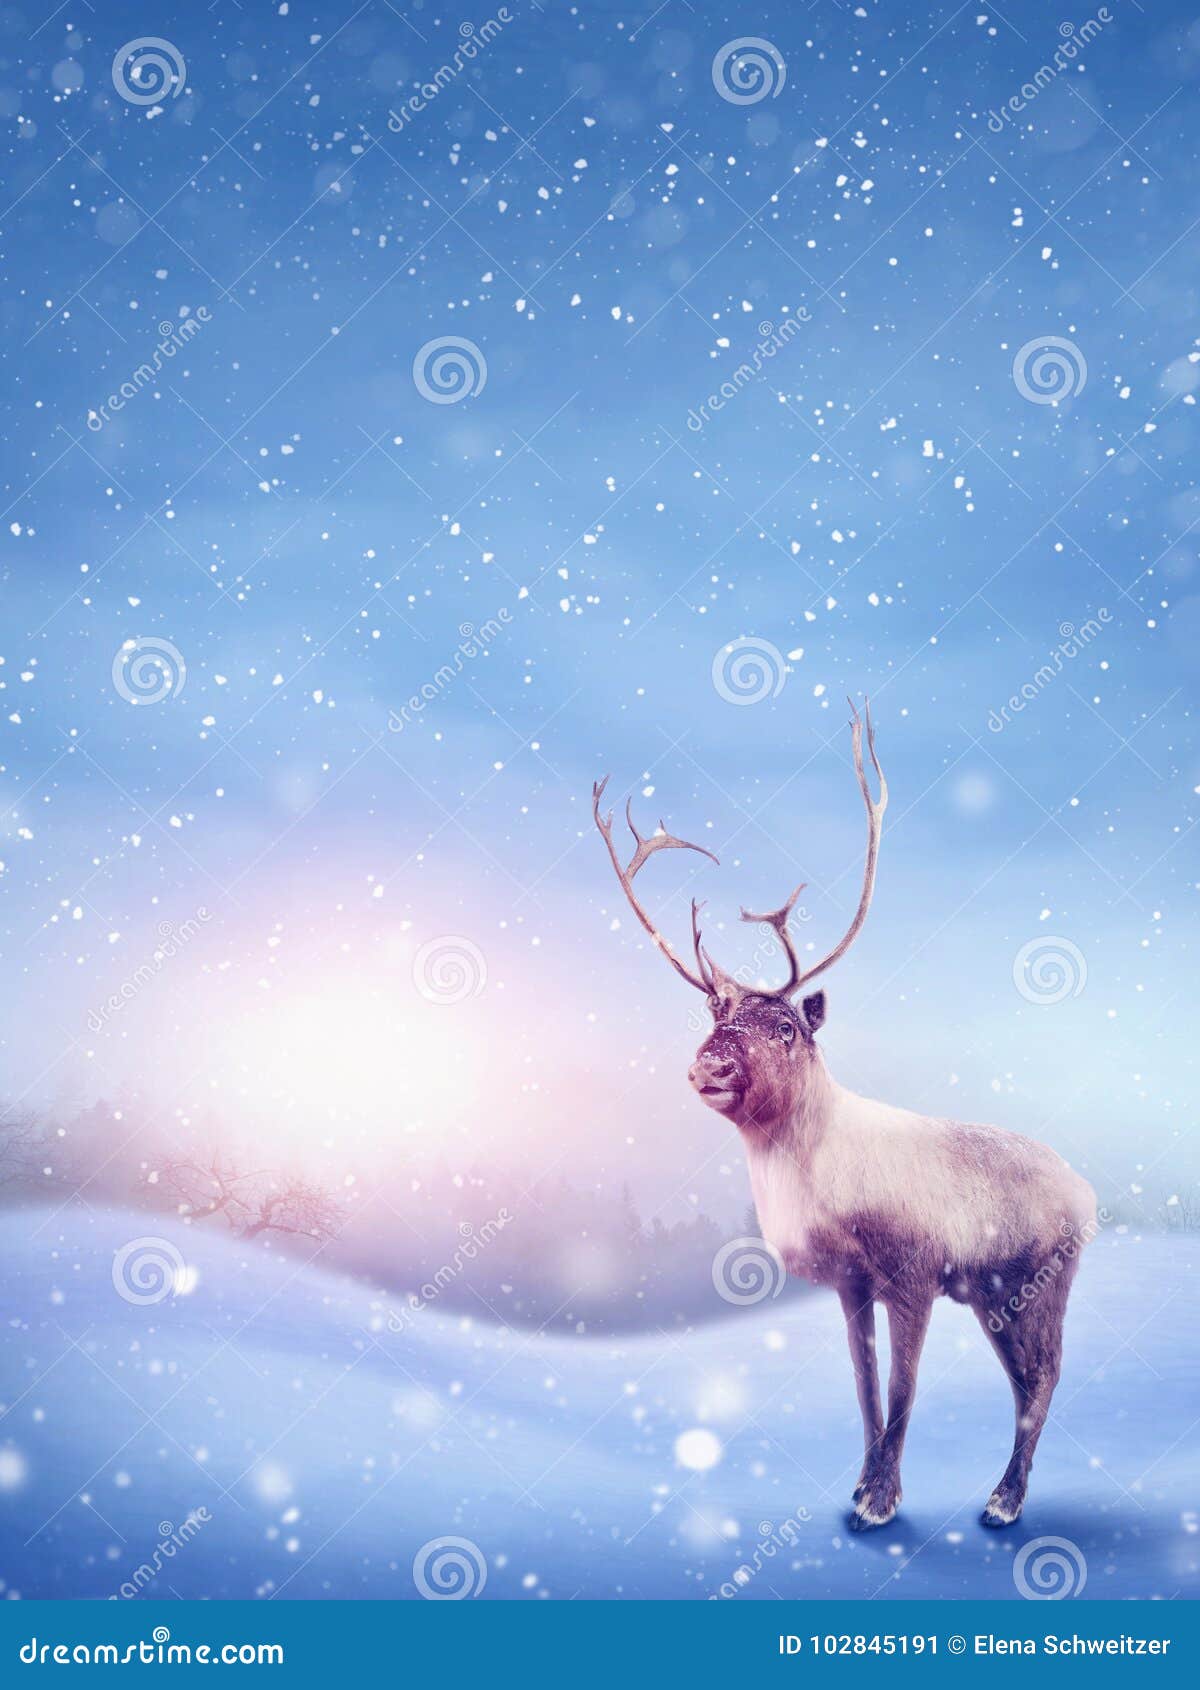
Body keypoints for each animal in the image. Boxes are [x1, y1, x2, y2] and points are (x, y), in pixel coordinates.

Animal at [593, 702, 1096, 1531]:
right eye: (716, 1015)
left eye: (785, 1027)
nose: (708, 1068)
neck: (821, 1187)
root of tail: (1090, 1194)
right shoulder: (851, 1284)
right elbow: (863, 1387)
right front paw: (861, 1487)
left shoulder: (915, 1275)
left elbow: (902, 1386)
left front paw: (881, 1500)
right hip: (993, 1294)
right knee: (1031, 1378)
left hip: (1034, 1279)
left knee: (1045, 1377)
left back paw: (1003, 1501)